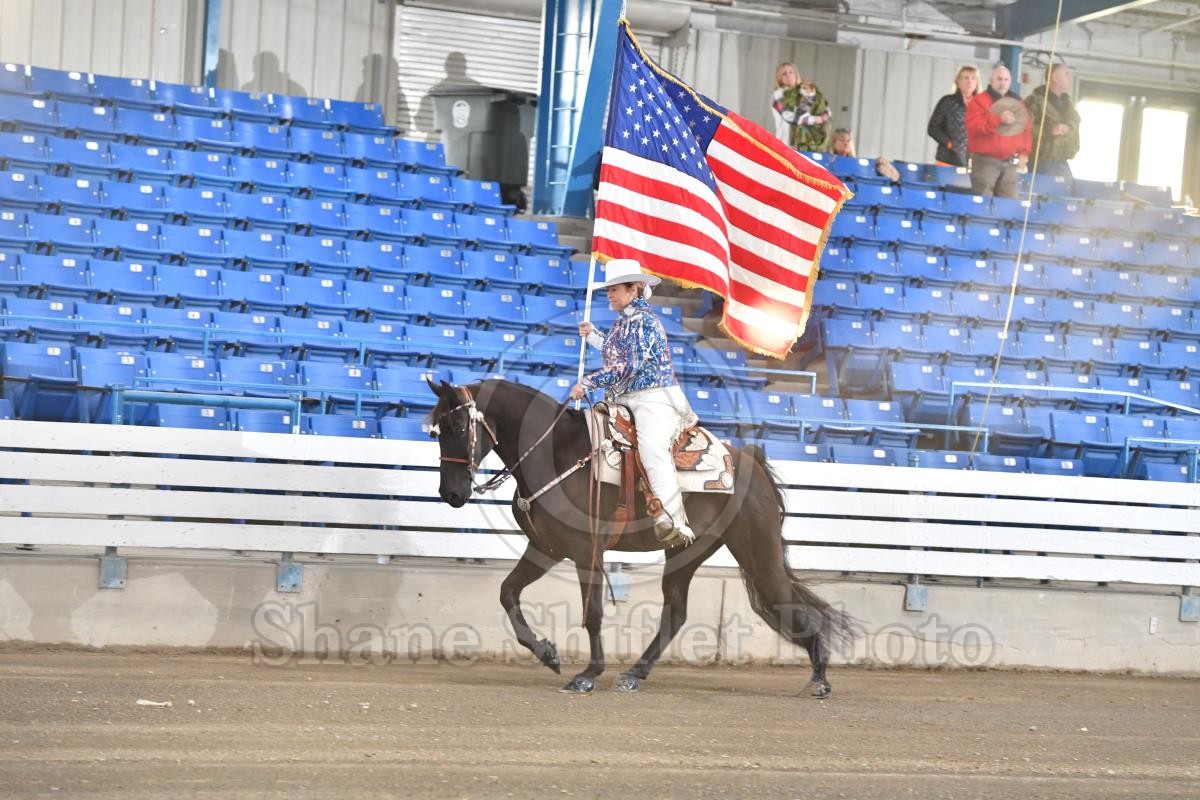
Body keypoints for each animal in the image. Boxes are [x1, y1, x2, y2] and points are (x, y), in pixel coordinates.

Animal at [426, 378, 857, 696]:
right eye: (436, 431)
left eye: (459, 427)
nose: (451, 494)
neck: (556, 452)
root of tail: (751, 460)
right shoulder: (546, 547)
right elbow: (508, 593)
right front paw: (548, 654)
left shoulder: (586, 550)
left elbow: (592, 613)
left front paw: (587, 674)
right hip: (688, 553)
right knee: (677, 611)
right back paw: (635, 673)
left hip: (757, 551)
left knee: (784, 600)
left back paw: (820, 678)